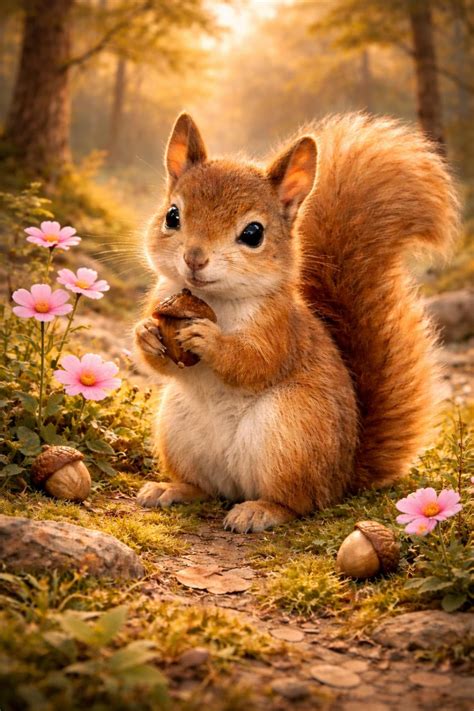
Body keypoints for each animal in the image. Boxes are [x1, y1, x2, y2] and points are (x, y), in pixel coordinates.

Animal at [133, 112, 459, 533]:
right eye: (172, 215)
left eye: (253, 233)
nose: (194, 258)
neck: (216, 301)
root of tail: (342, 477)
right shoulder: (162, 297)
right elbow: (157, 359)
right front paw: (146, 334)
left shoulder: (280, 329)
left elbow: (256, 363)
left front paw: (209, 339)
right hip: (178, 431)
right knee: (205, 487)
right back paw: (172, 489)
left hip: (290, 437)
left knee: (299, 501)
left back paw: (260, 510)